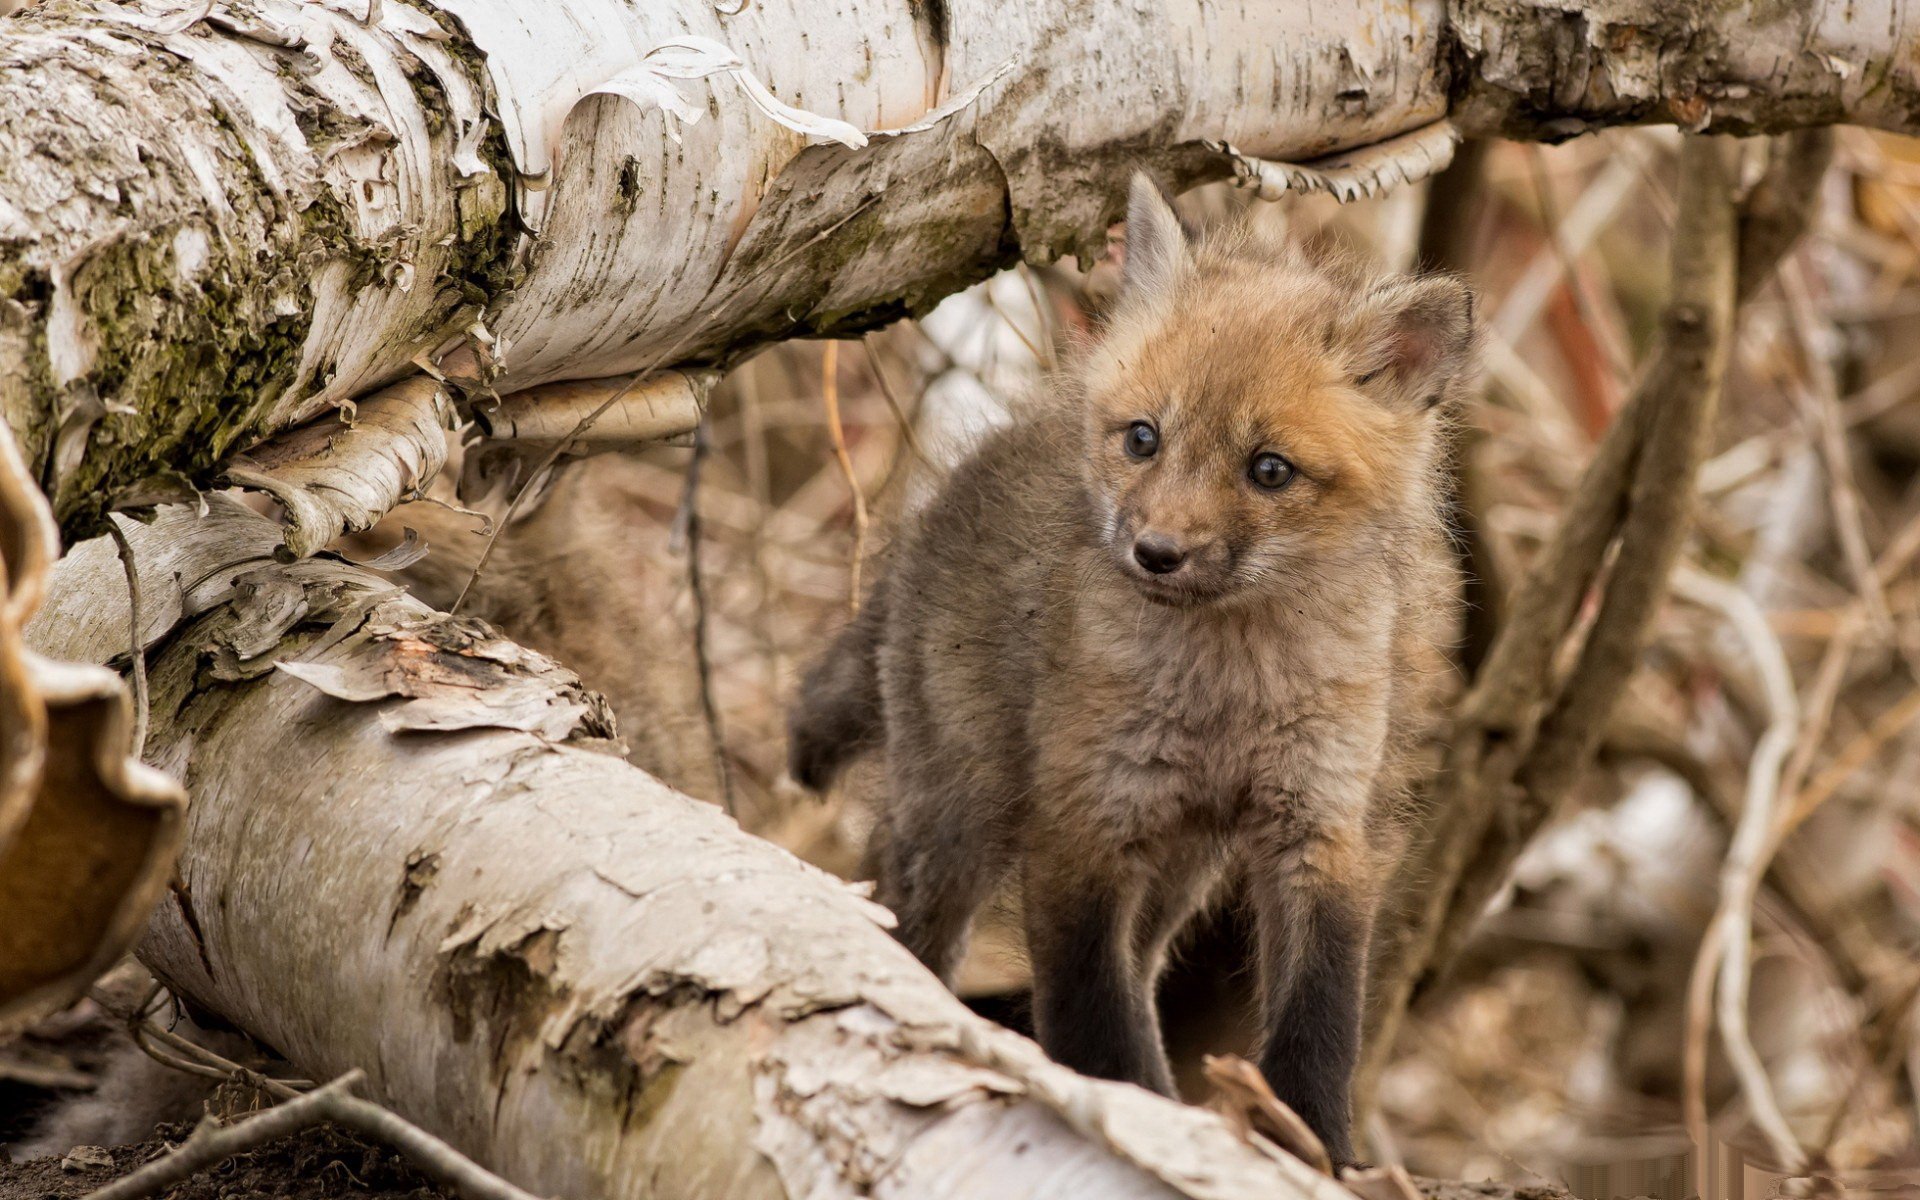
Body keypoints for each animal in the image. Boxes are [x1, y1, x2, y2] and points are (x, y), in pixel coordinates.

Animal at [787, 173, 1472, 1164]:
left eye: (1269, 469)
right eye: (1144, 439)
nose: (1155, 553)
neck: (1228, 688)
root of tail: (939, 502)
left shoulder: (1318, 828)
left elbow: (1320, 1020)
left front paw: (1314, 1147)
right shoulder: (1083, 825)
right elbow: (1093, 1020)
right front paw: (1134, 1115)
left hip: (1177, 867)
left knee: (1144, 968)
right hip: (959, 822)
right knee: (903, 918)